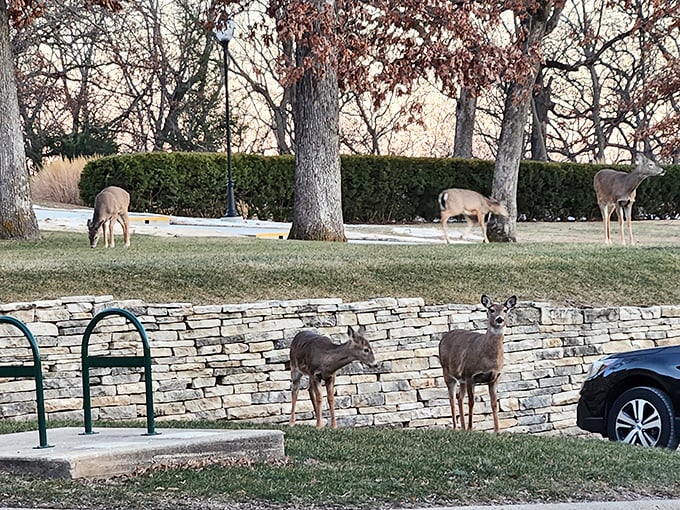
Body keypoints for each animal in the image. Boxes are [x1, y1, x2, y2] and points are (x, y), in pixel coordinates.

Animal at [438, 294, 517, 433]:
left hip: (461, 379)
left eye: (505, 309)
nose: (499, 319)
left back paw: (462, 428)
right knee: (452, 398)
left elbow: (494, 404)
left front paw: (497, 431)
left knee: (459, 397)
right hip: (447, 372)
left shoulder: (495, 377)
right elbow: (472, 402)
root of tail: (444, 337)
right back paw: (456, 428)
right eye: (491, 309)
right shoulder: (470, 375)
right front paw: (471, 428)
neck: (488, 360)